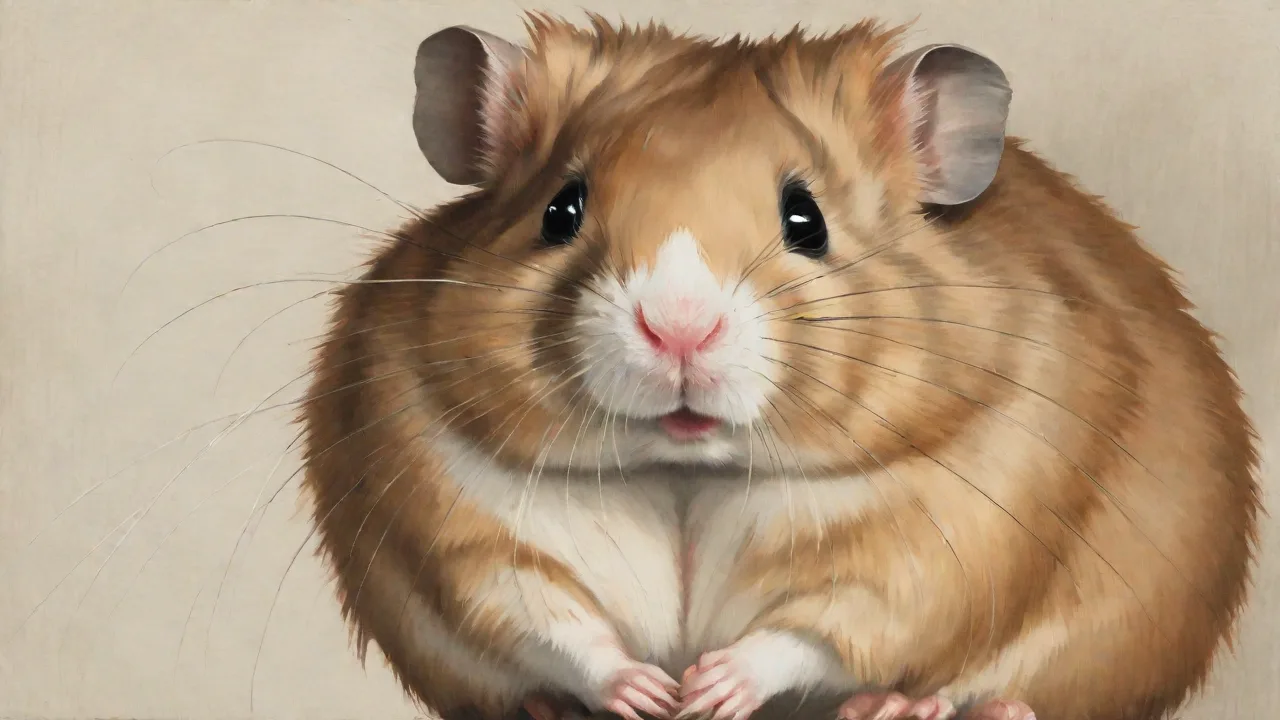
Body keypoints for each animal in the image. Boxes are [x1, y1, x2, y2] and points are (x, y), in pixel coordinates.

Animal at [298, 14, 1261, 720]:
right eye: (560, 211)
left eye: (807, 221)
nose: (678, 329)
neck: (687, 474)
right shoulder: (464, 527)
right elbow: (548, 618)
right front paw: (652, 693)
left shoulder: (933, 548)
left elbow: (818, 627)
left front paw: (710, 688)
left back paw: (903, 708)